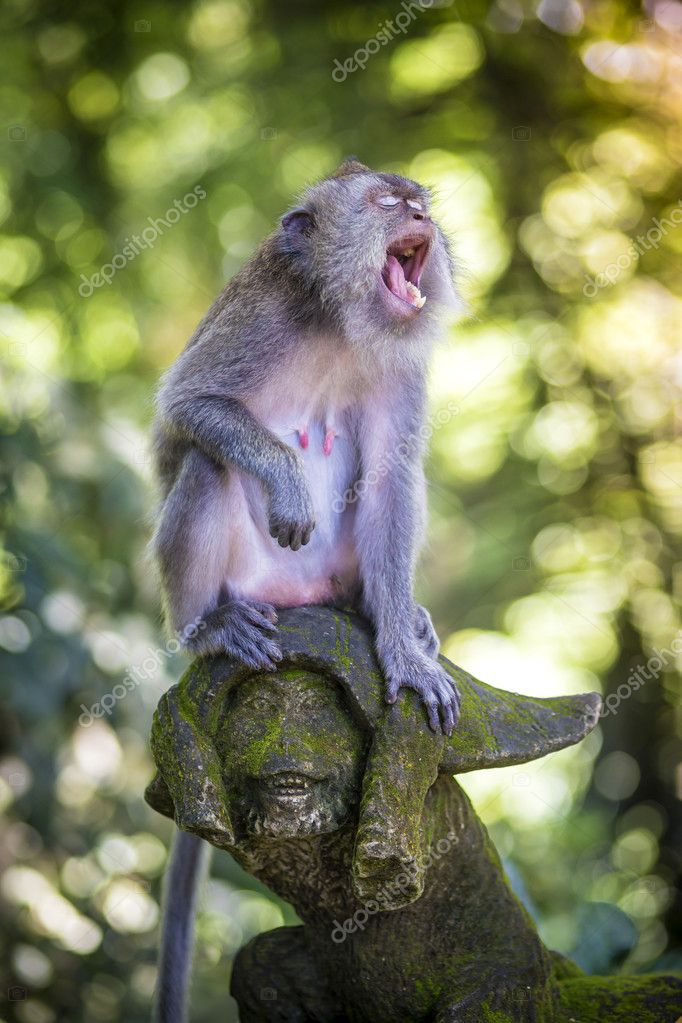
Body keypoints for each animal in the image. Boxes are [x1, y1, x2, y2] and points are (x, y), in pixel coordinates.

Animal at [151, 157, 463, 735]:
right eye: (388, 203)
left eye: (419, 204)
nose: (420, 217)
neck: (339, 320)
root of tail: (304, 595)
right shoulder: (262, 318)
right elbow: (188, 402)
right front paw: (289, 483)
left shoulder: (402, 362)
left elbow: (390, 476)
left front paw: (404, 653)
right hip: (251, 582)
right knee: (206, 462)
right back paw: (205, 630)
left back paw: (391, 613)